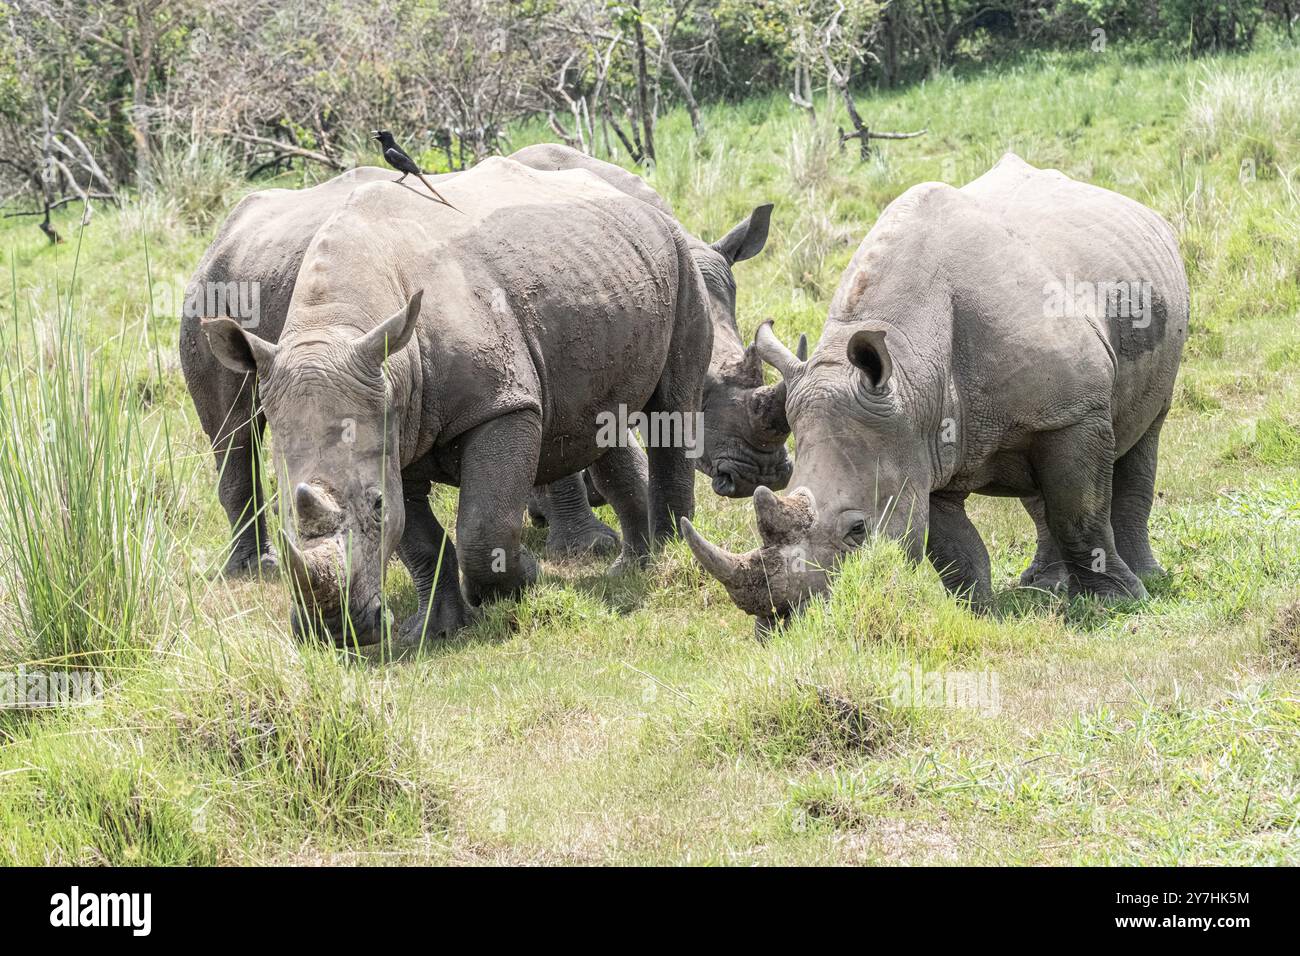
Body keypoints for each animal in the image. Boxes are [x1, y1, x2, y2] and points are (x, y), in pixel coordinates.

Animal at [180, 146, 787, 579]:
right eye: (711, 391)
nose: (765, 475)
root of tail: (225, 229)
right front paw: (584, 546)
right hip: (211, 293)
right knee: (232, 432)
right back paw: (255, 571)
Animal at [682, 154, 1188, 634]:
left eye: (857, 530)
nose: (783, 621)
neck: (910, 373)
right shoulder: (916, 442)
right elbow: (952, 546)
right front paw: (977, 613)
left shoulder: (1073, 412)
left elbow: (1080, 514)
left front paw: (1115, 603)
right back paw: (1043, 586)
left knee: (1144, 436)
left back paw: (1146, 578)